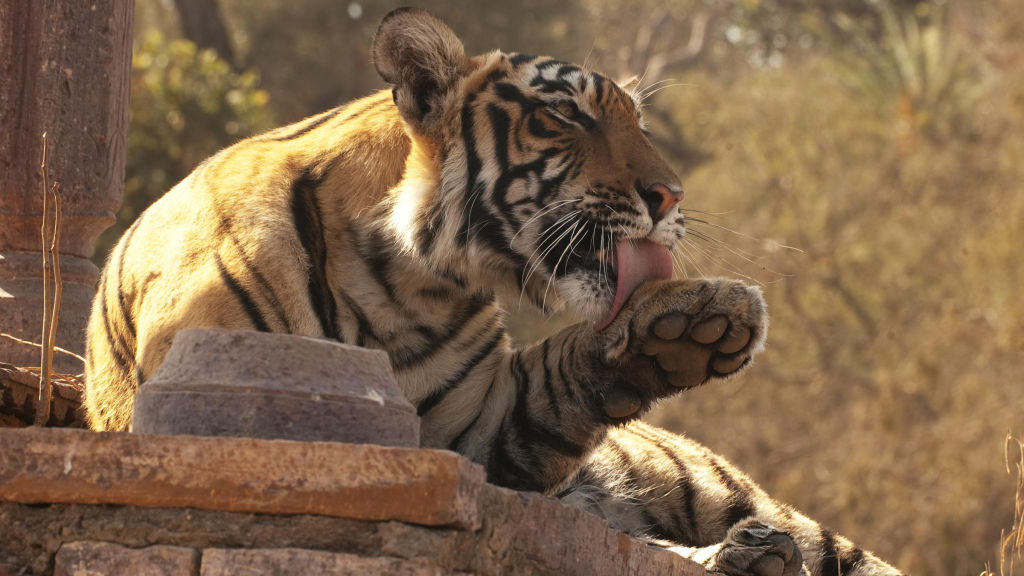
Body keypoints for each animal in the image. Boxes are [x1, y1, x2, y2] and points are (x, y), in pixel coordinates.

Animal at [85, 7, 905, 576]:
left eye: (638, 122)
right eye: (565, 115)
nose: (671, 195)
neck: (404, 287)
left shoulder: (480, 431)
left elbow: (566, 366)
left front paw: (690, 324)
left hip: (717, 487)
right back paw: (752, 555)